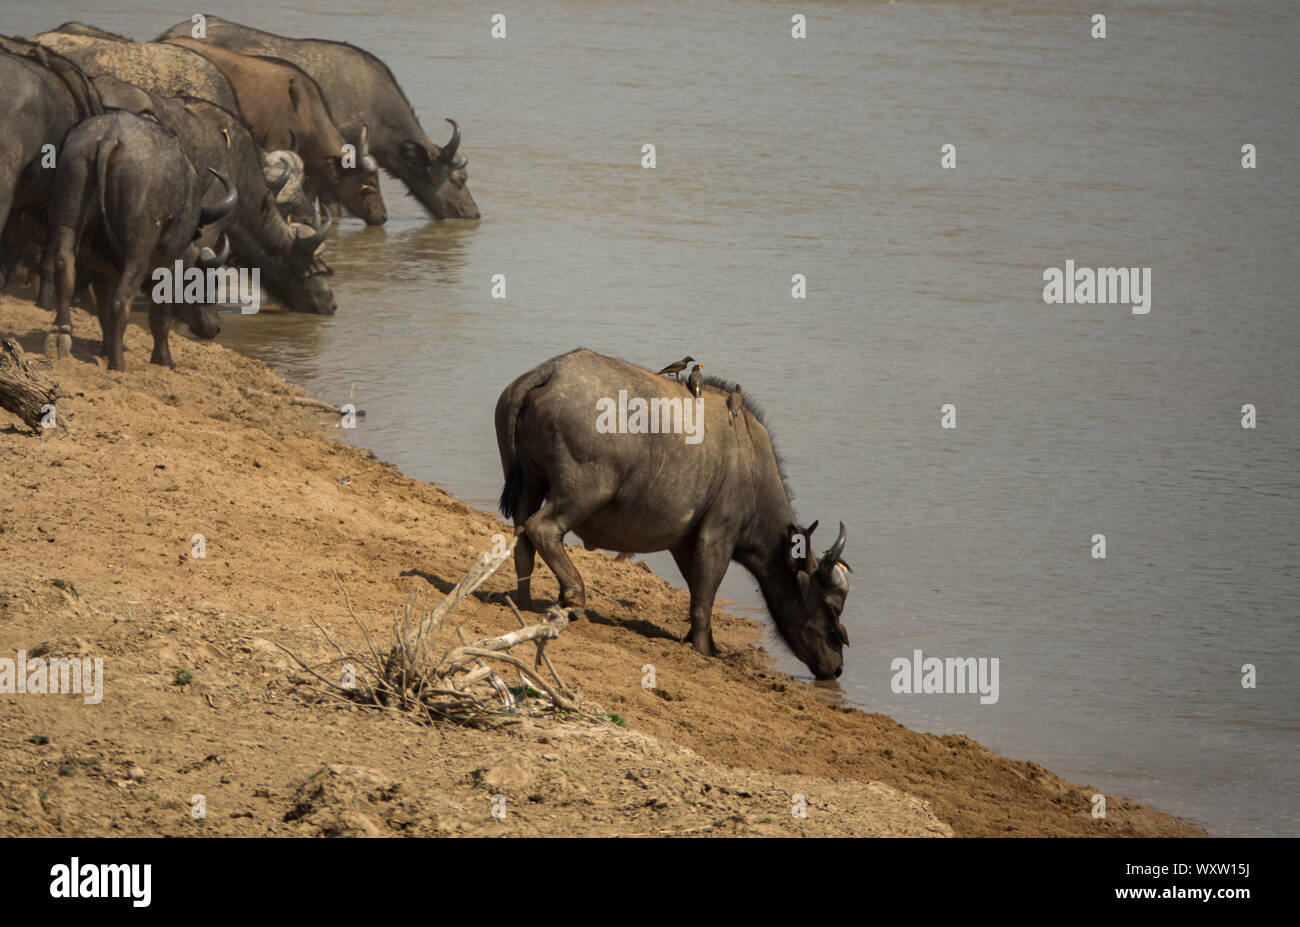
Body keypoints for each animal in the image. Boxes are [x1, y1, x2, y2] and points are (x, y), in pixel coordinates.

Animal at [495, 349, 852, 679]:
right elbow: (704, 600)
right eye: (832, 608)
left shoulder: (684, 544)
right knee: (542, 529)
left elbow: (696, 591)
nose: (836, 668)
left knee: (521, 540)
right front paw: (705, 650)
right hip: (582, 493)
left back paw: (524, 602)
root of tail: (551, 370)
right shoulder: (717, 538)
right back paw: (575, 597)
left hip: (529, 485)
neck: (750, 461)